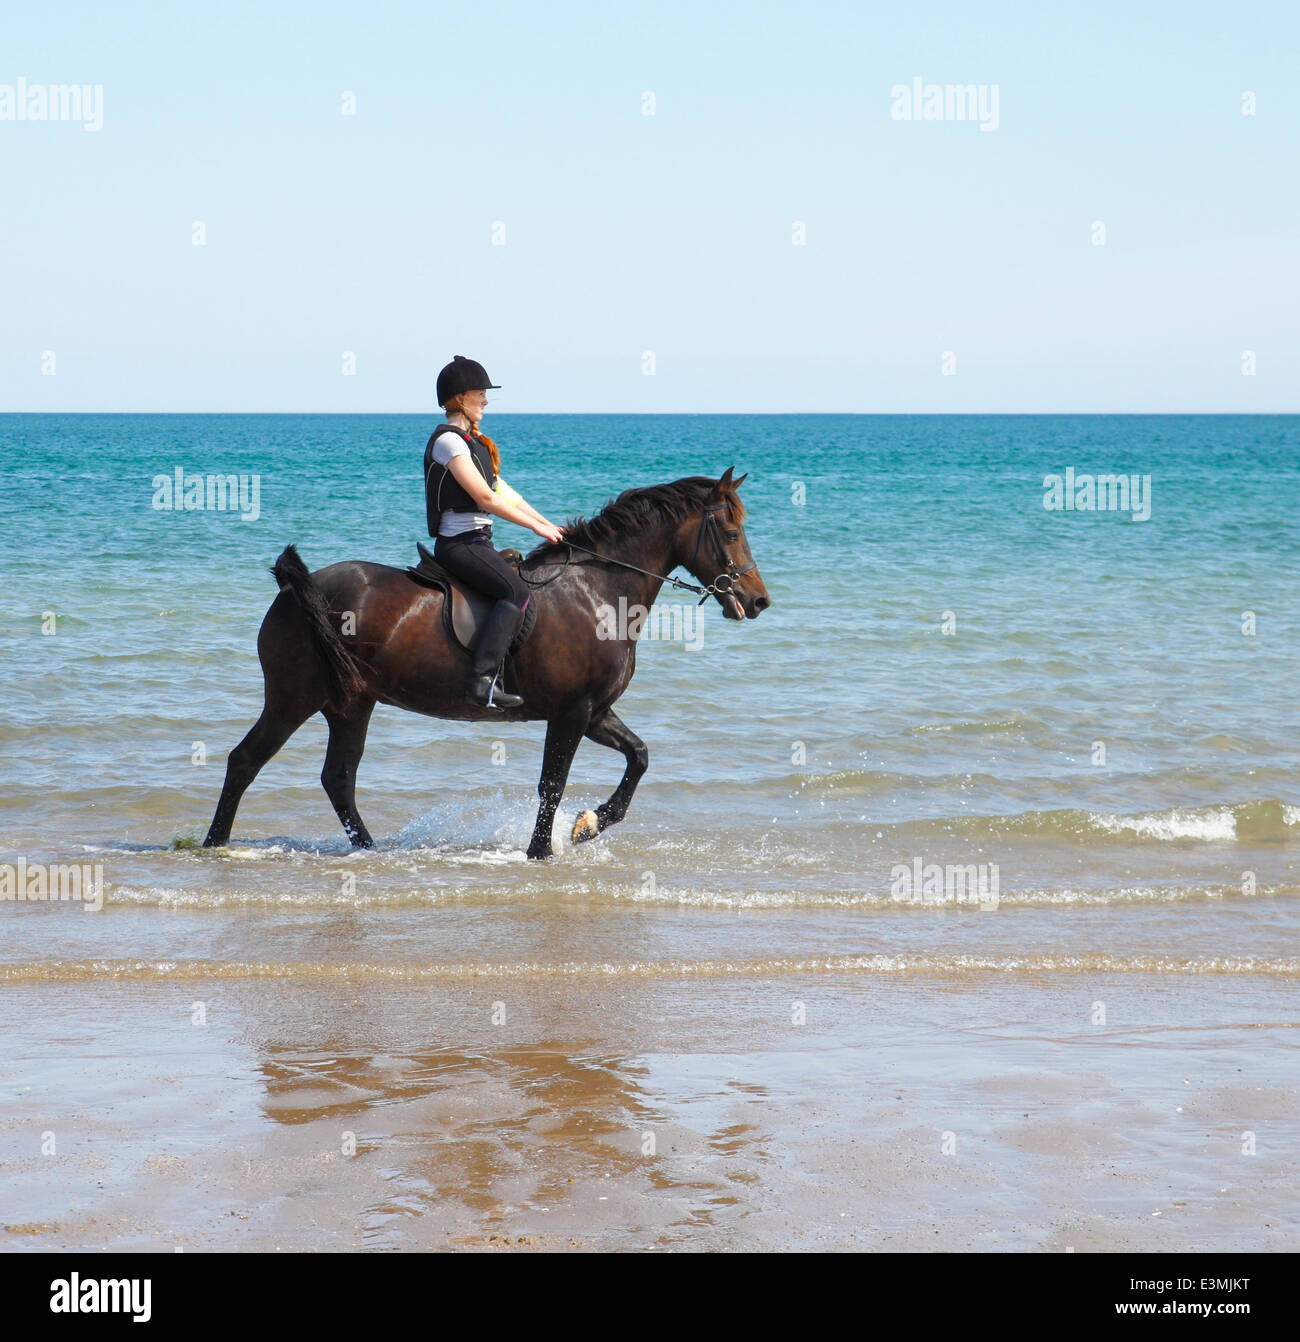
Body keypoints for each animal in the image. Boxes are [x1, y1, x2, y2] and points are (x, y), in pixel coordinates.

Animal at [202, 467, 770, 860]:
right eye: (731, 530)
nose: (758, 601)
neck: (598, 590)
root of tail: (296, 588)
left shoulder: (595, 712)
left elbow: (640, 757)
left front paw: (588, 825)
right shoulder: (571, 713)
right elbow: (551, 784)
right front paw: (542, 851)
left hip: (350, 704)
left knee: (337, 779)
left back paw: (369, 850)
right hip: (293, 697)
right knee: (245, 761)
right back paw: (214, 844)